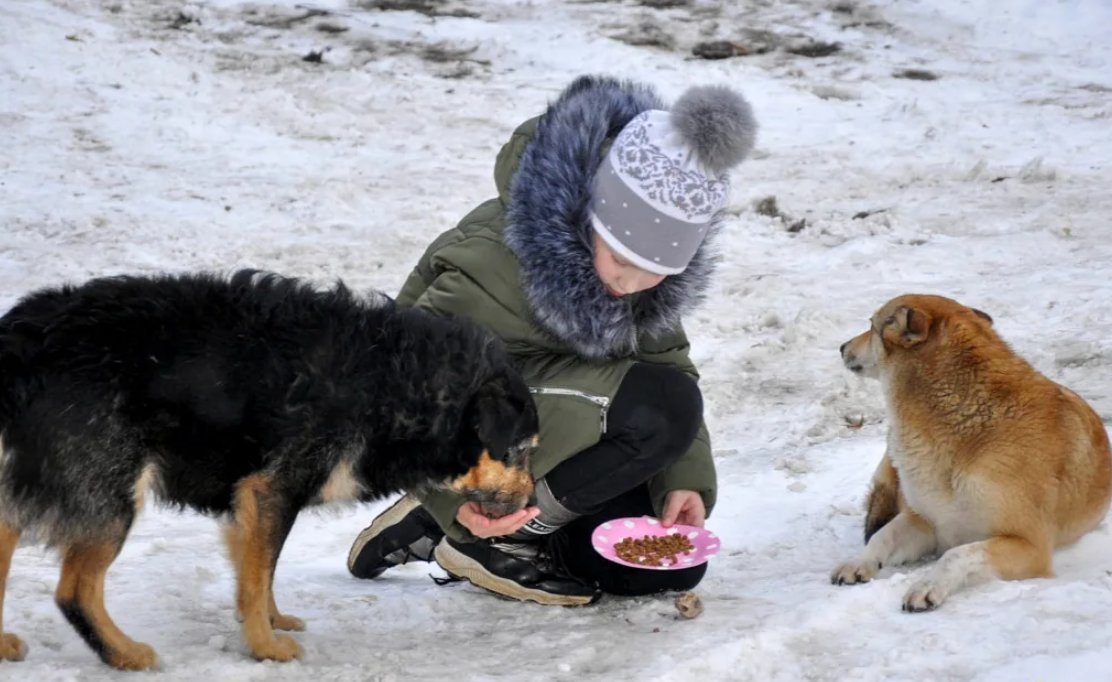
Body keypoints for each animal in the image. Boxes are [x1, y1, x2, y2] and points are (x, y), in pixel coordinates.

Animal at [0, 268, 538, 667]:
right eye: (520, 450)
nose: (534, 502)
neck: (396, 382)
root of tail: (26, 336)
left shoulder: (254, 499)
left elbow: (259, 572)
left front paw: (271, 621)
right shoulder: (274, 489)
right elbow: (259, 576)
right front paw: (265, 647)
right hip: (109, 490)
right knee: (74, 591)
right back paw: (124, 654)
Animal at [831, 291, 1112, 609]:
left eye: (871, 326)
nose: (841, 347)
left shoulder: (1030, 546)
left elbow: (956, 554)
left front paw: (927, 585)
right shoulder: (926, 522)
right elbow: (882, 536)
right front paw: (858, 563)